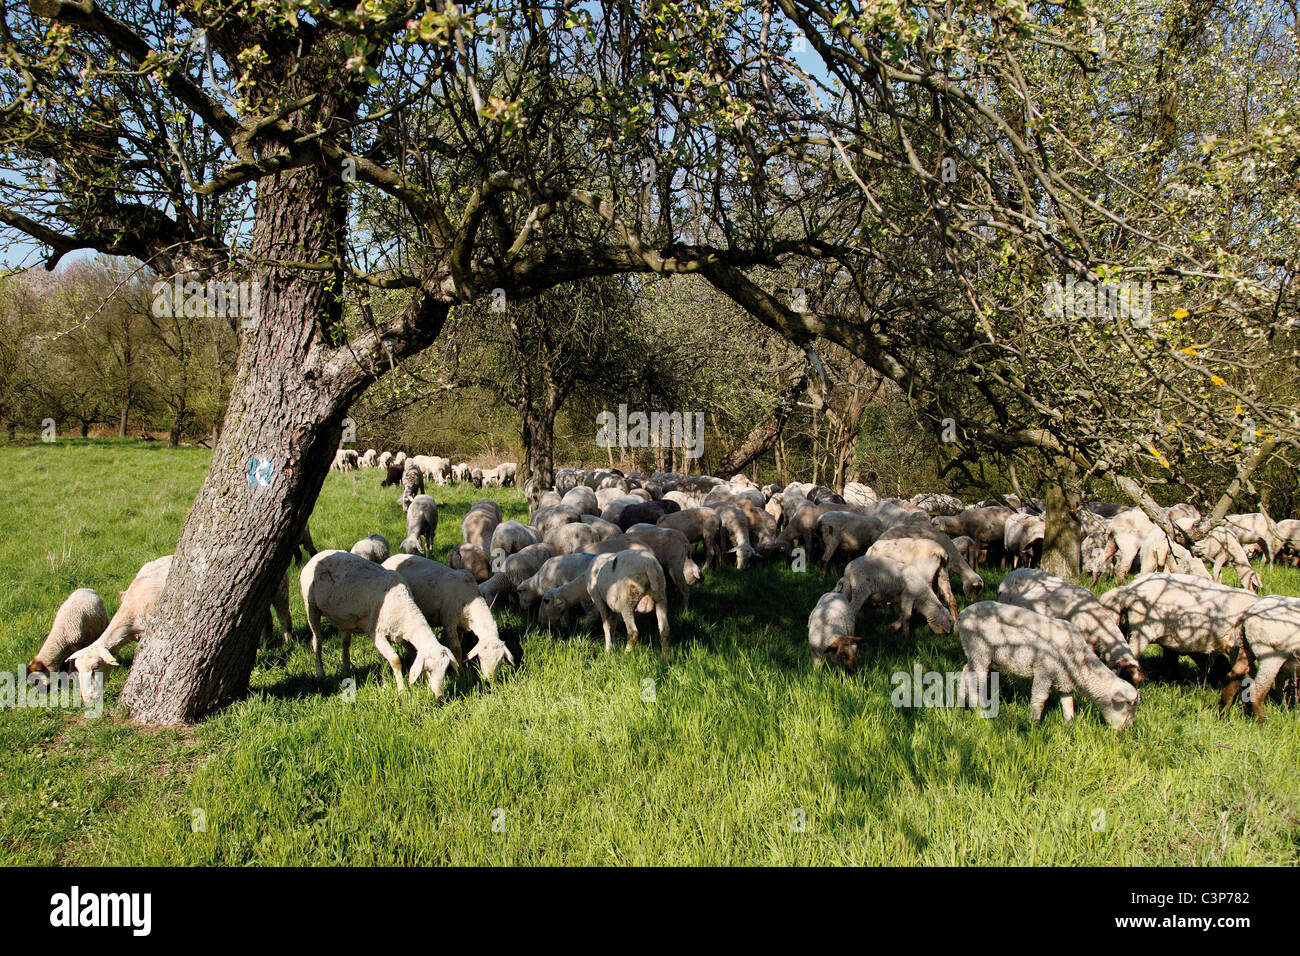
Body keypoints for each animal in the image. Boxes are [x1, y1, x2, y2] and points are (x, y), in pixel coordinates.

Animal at [301, 551, 457, 695]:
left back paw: (346, 670)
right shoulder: (376, 633)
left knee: (345, 643)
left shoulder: (402, 635)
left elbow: (408, 655)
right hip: (310, 606)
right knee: (317, 640)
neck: (405, 612)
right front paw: (401, 691)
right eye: (429, 669)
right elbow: (395, 660)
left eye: (446, 669)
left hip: (344, 616)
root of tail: (317, 555)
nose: (439, 695)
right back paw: (320, 674)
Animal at [384, 554, 512, 680]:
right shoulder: (449, 621)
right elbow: (456, 648)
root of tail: (388, 559)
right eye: (481, 657)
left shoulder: (460, 626)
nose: (490, 680)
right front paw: (460, 673)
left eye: (500, 661)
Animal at [955, 602, 1139, 728]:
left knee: (965, 672)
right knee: (976, 681)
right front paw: (1033, 724)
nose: (1126, 730)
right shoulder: (1044, 670)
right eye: (1127, 707)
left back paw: (961, 702)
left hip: (974, 654)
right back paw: (981, 712)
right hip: (980, 651)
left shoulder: (1064, 679)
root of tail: (962, 616)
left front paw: (1069, 725)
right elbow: (1040, 699)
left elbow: (1068, 703)